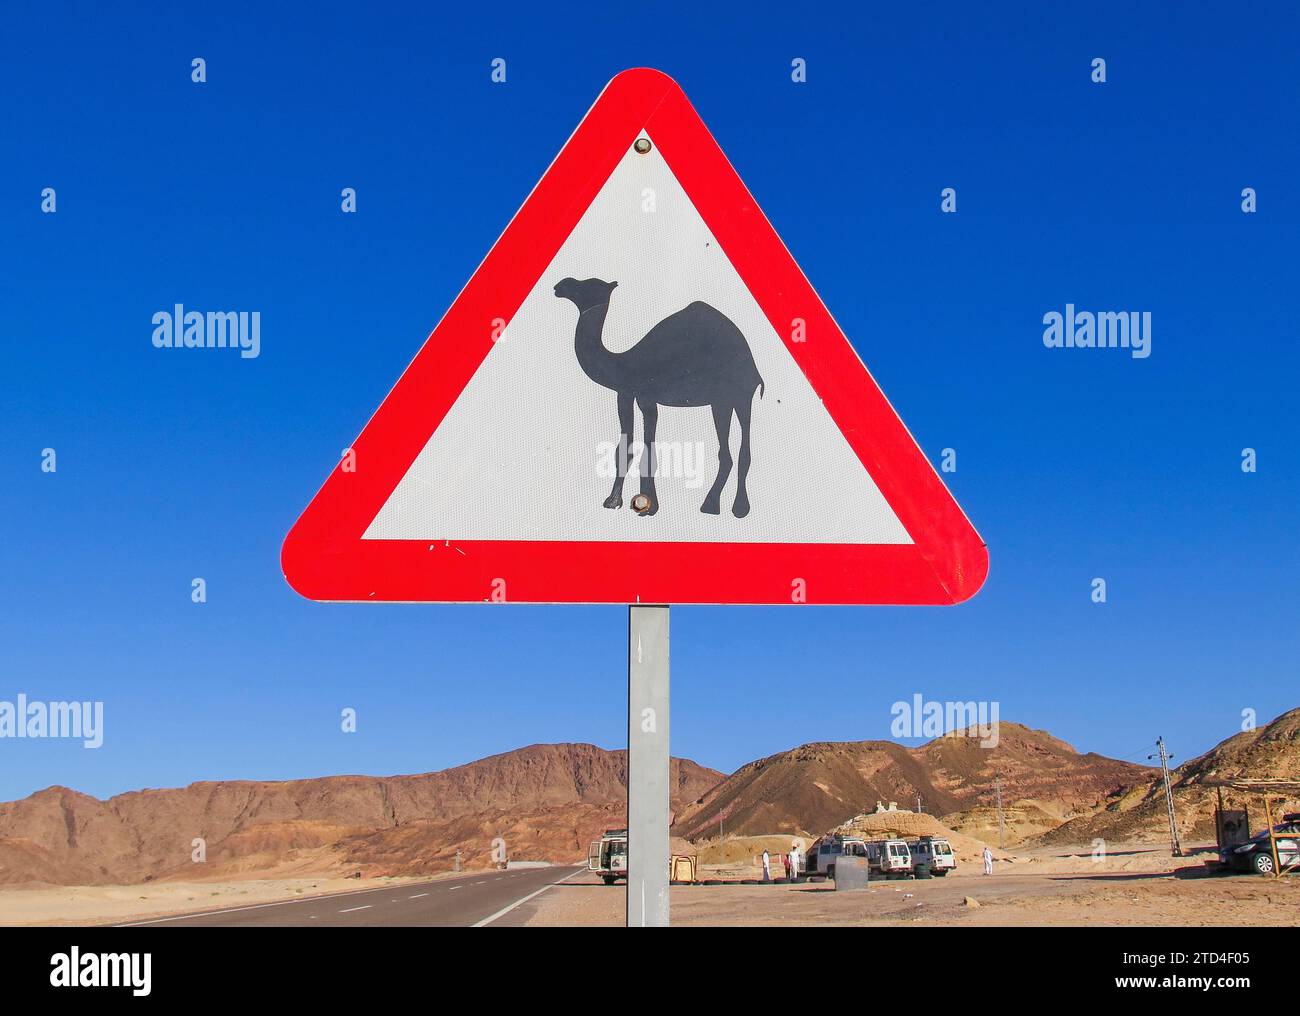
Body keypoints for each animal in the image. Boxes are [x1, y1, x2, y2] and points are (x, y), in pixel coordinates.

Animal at [554, 277, 764, 517]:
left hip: (741, 395)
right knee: (725, 452)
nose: (561, 284)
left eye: (590, 285)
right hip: (720, 401)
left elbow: (648, 451)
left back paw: (739, 508)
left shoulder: (647, 397)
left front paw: (649, 507)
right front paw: (613, 500)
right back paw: (710, 506)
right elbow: (623, 450)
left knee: (744, 449)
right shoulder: (625, 394)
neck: (624, 363)